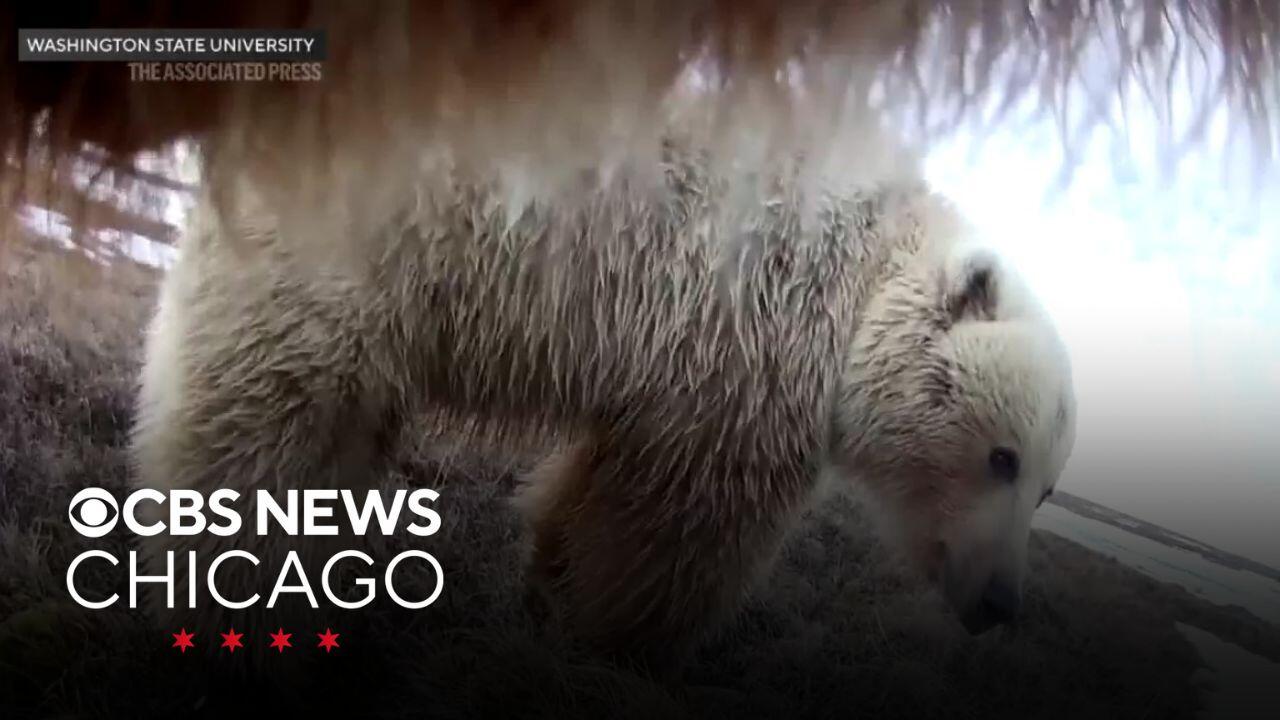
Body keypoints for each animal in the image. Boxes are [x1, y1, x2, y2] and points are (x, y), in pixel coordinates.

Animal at [130, 140, 1076, 664]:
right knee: (276, 402)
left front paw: (549, 583)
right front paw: (619, 637)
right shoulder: (747, 336)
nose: (1000, 606)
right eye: (1001, 456)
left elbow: (608, 479)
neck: (866, 271)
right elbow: (683, 516)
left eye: (1048, 487)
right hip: (369, 246)